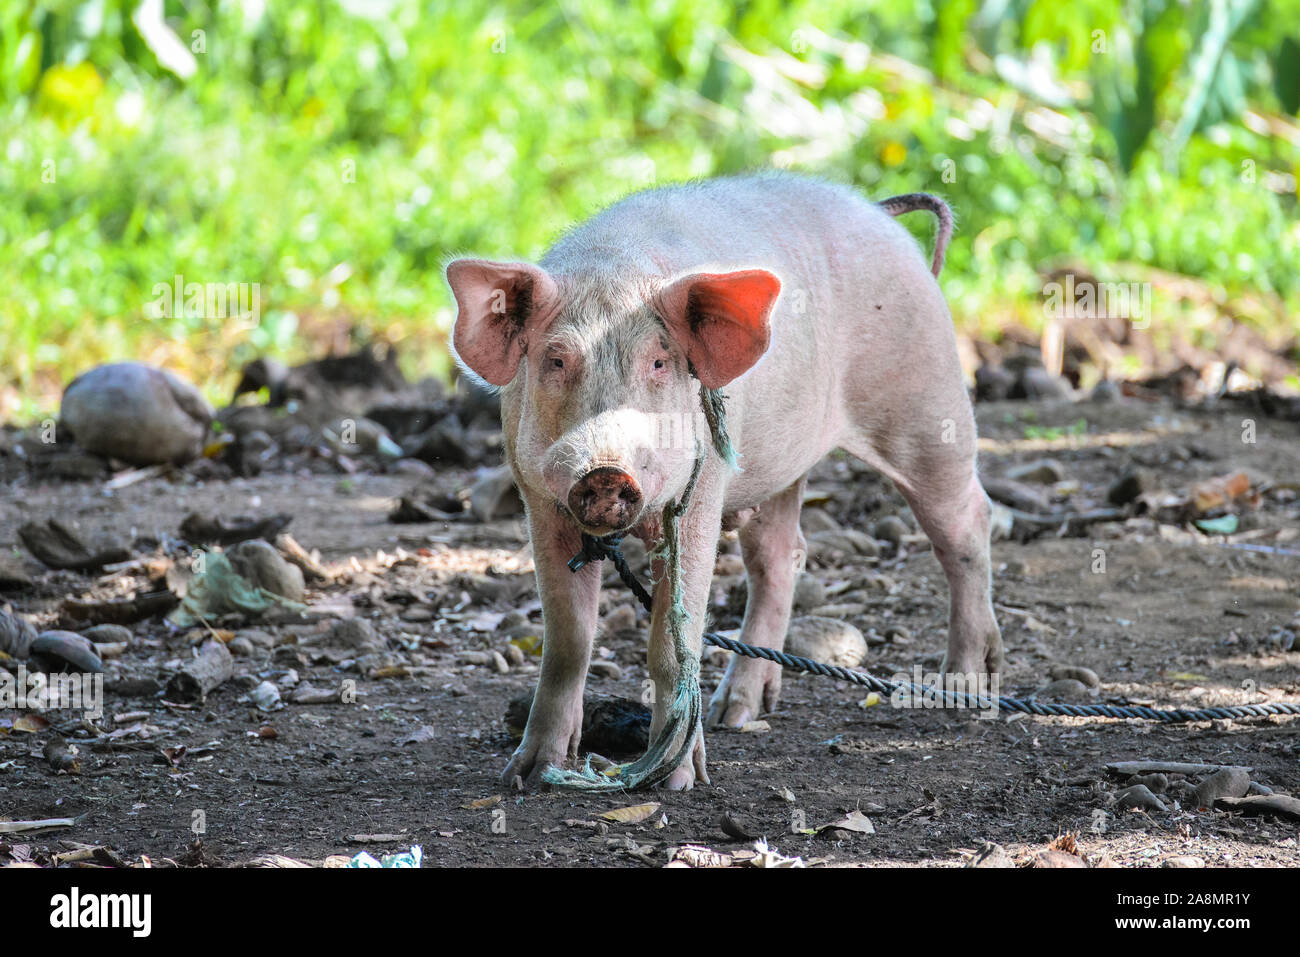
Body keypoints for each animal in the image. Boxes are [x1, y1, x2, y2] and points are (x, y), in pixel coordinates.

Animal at [445, 172, 1001, 790]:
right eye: (556, 360)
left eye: (660, 363)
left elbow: (672, 643)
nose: (606, 470)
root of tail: (882, 215)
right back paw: (735, 712)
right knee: (782, 555)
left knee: (967, 524)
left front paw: (677, 780)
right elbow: (568, 642)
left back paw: (961, 690)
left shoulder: (701, 487)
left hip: (927, 401)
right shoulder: (539, 498)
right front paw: (529, 774)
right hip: (785, 462)